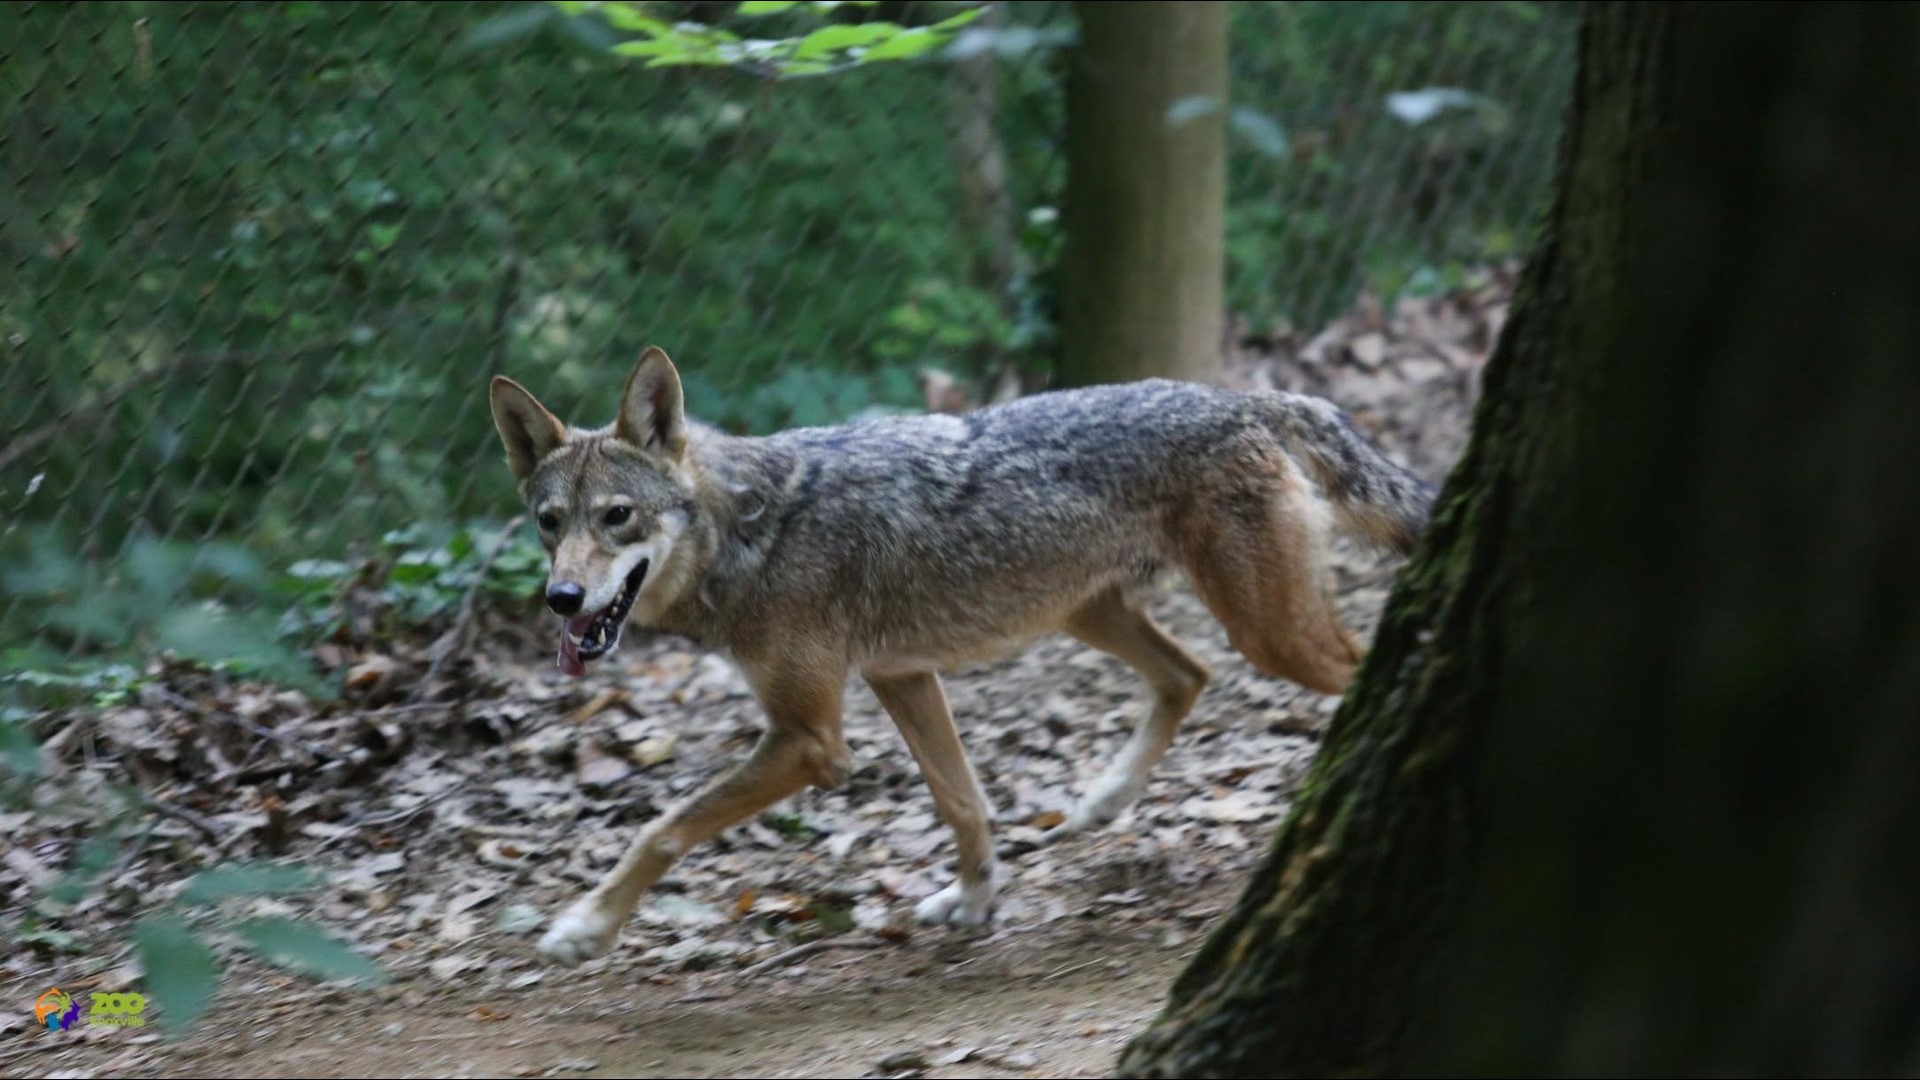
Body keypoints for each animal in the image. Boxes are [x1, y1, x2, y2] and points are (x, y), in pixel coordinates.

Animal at [489, 347, 1433, 966]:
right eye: (549, 523)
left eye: (617, 517)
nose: (561, 600)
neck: (749, 529)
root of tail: (1246, 399)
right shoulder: (901, 675)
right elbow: (965, 804)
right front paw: (977, 902)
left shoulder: (810, 739)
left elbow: (661, 828)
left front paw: (585, 928)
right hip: (1093, 617)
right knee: (1187, 675)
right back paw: (1103, 800)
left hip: (1265, 634)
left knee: (1349, 664)